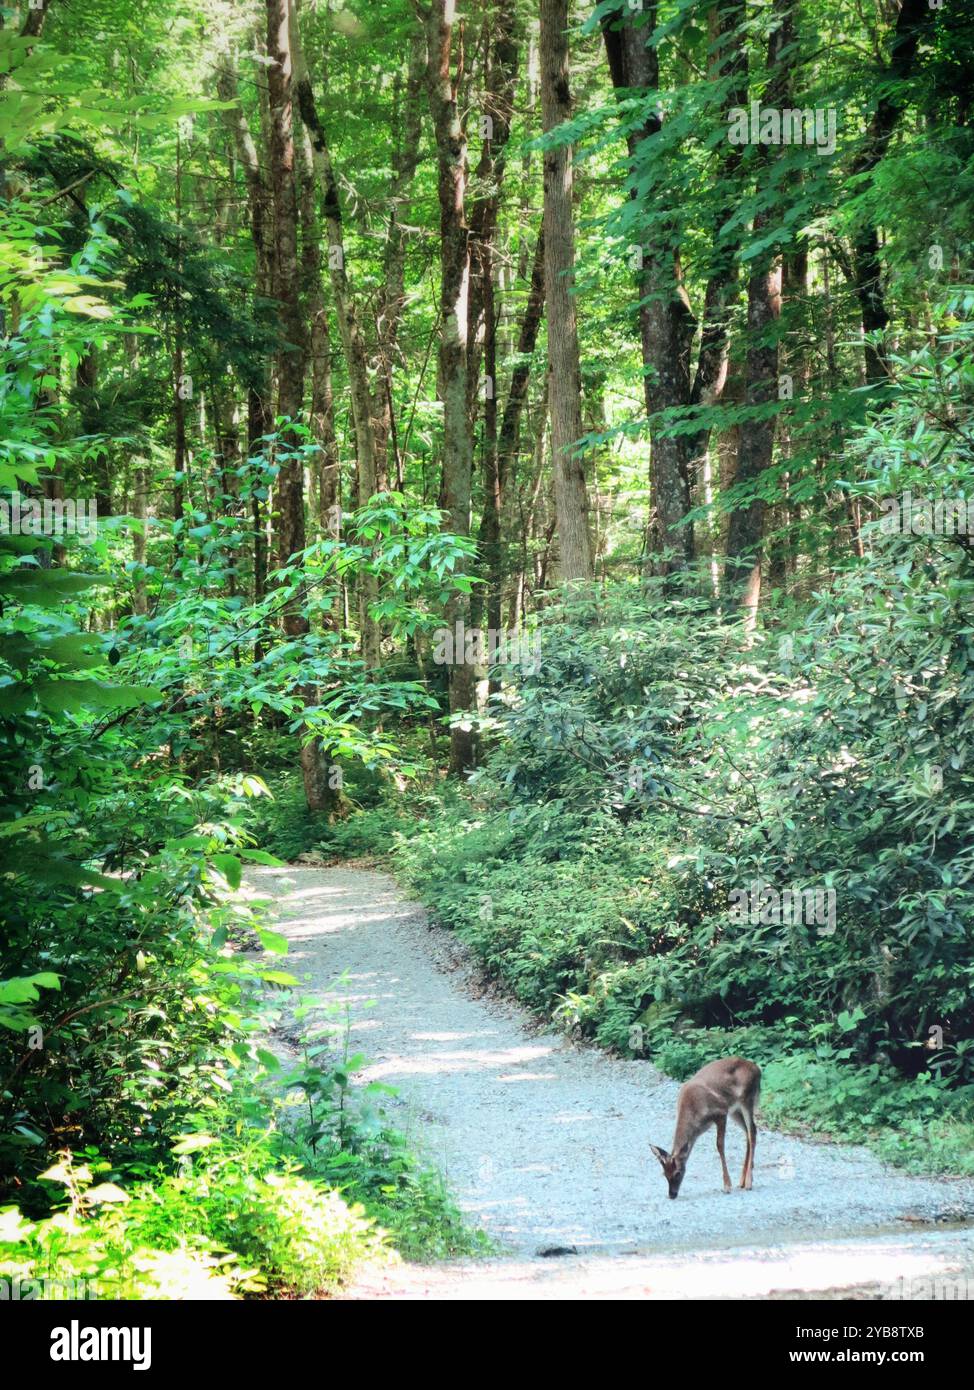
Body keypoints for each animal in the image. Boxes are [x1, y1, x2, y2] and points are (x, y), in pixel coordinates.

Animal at [650, 1057, 760, 1200]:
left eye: (678, 1173)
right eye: (664, 1174)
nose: (672, 1195)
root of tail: (757, 1068)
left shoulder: (721, 1112)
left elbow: (719, 1145)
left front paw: (726, 1186)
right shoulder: (724, 1113)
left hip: (747, 1099)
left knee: (752, 1132)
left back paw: (748, 1182)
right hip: (735, 1111)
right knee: (748, 1132)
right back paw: (741, 1181)